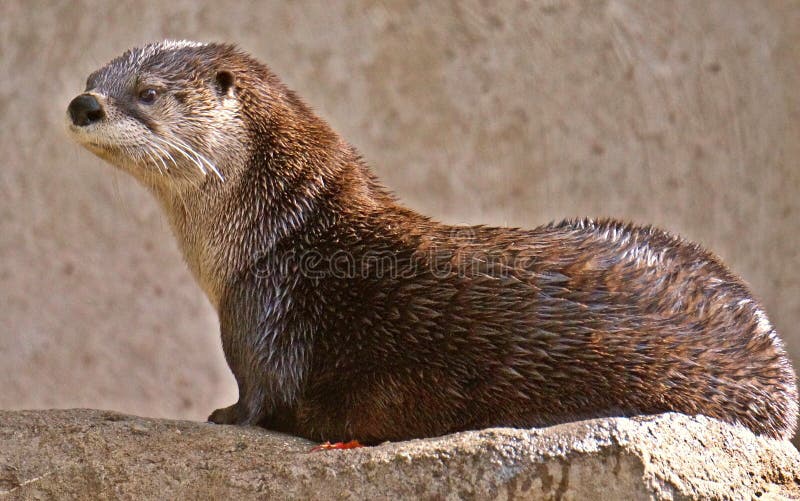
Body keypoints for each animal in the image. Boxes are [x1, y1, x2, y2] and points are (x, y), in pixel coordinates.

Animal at [66, 41, 798, 444]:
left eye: (148, 92)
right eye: (92, 80)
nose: (83, 105)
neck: (281, 233)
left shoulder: (264, 312)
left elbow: (260, 400)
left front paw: (224, 415)